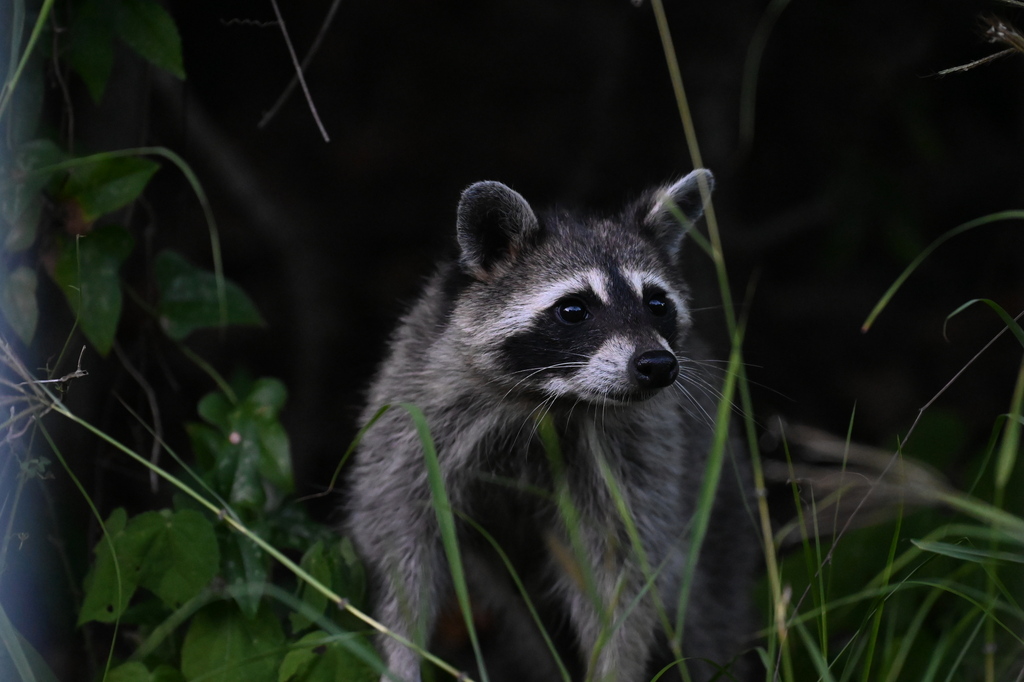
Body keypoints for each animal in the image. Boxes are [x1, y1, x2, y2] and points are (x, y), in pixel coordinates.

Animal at [346, 170, 757, 682]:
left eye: (657, 303)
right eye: (574, 309)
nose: (658, 365)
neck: (551, 401)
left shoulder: (635, 453)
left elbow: (621, 571)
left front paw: (614, 667)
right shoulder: (416, 407)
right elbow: (400, 540)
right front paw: (401, 654)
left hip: (722, 511)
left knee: (706, 613)